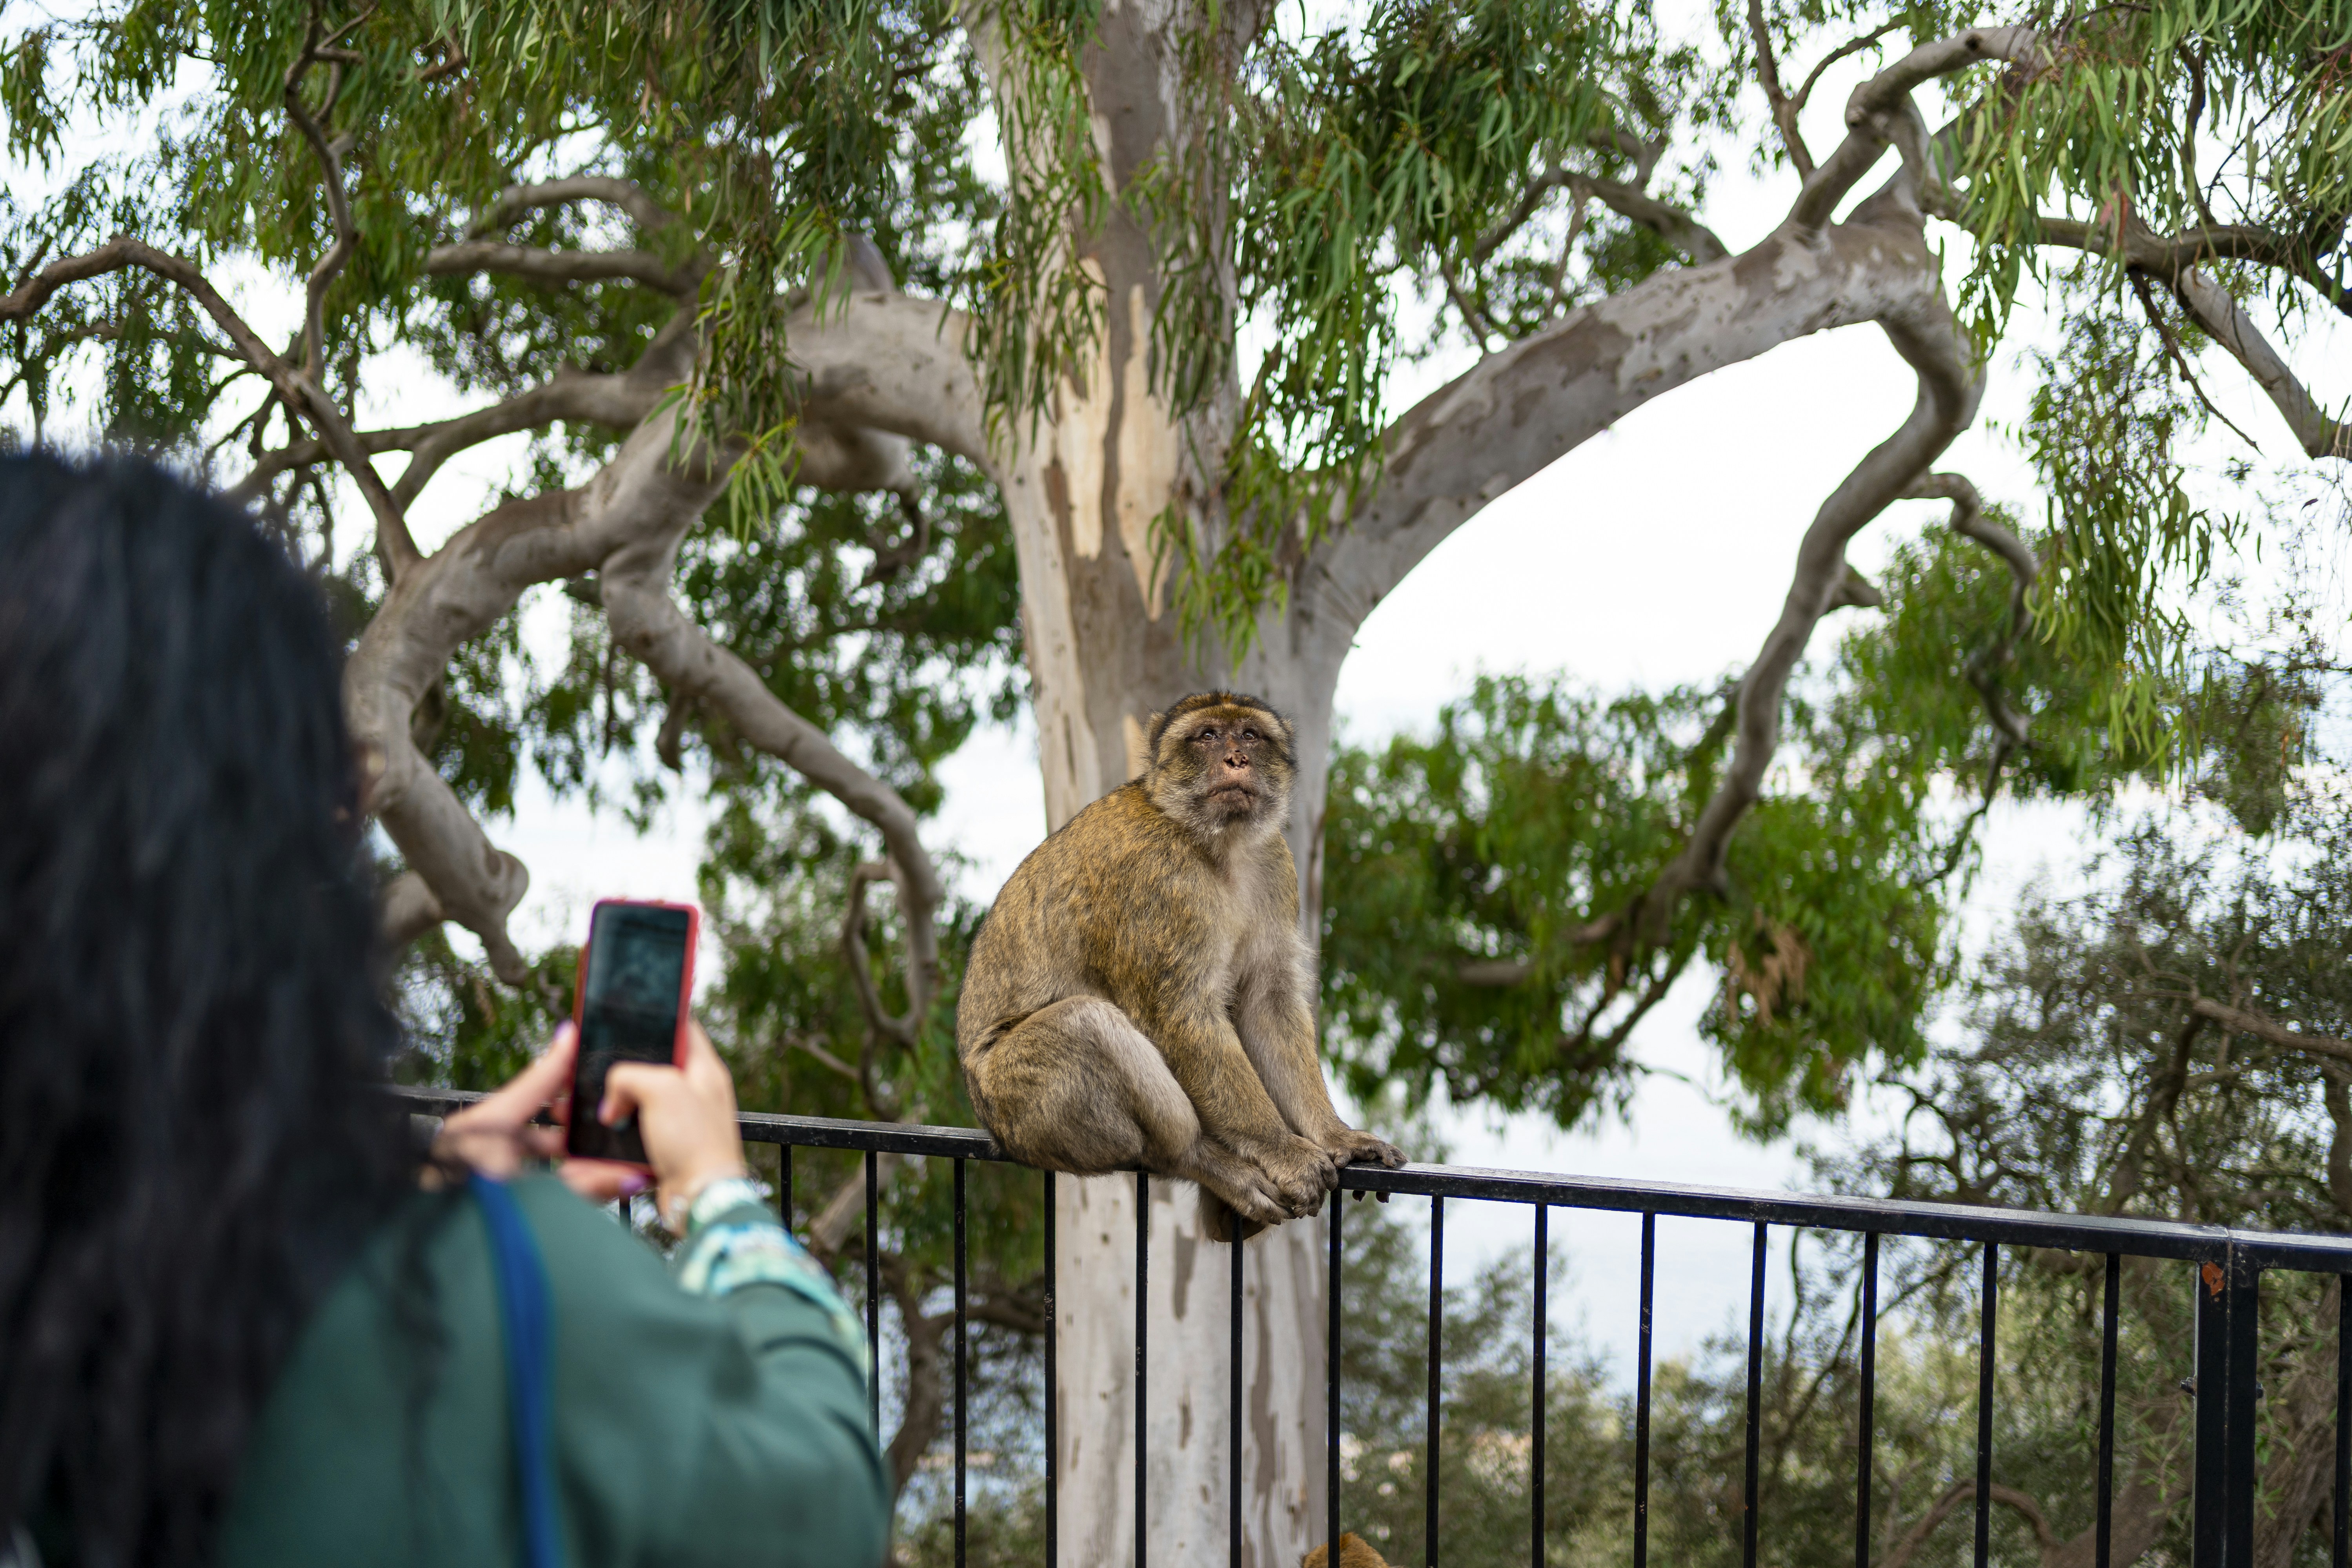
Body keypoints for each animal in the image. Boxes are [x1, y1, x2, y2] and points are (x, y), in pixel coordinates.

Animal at [956, 691, 1405, 1236]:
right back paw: (1198, 1156)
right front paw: (1283, 1150)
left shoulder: (1275, 863)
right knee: (1086, 1023)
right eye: (1207, 736)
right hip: (1016, 1103)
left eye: (1250, 735)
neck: (1213, 843)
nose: (1236, 759)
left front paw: (1335, 1136)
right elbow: (1180, 1016)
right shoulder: (1157, 882)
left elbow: (1268, 1002)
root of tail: (989, 1121)